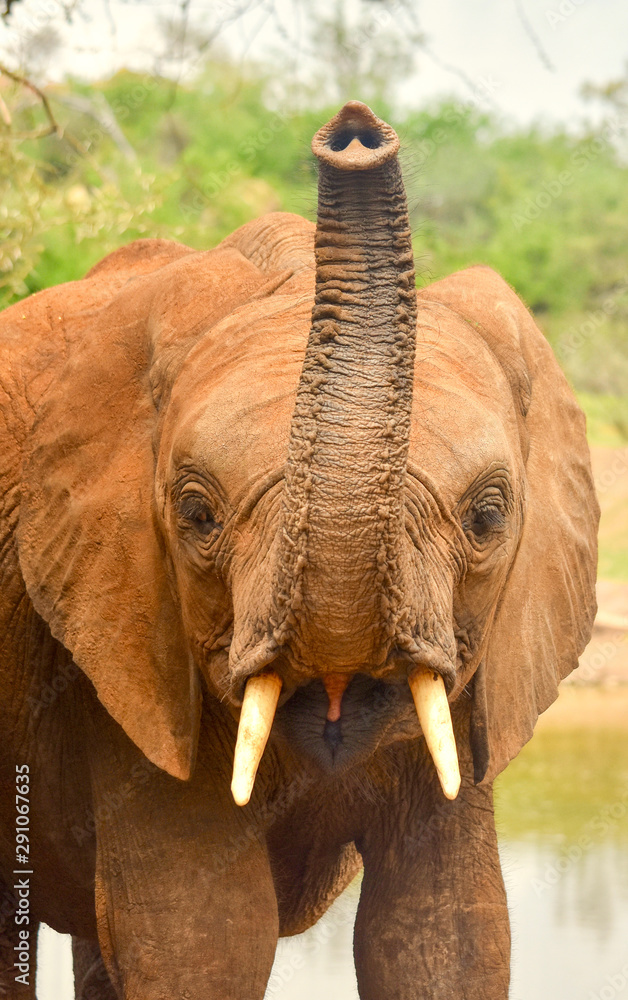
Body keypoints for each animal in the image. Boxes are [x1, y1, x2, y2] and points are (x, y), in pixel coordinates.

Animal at [0, 101, 598, 1000]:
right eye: (197, 514)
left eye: (489, 517)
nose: (355, 131)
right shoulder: (127, 652)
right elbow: (204, 934)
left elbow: (443, 931)